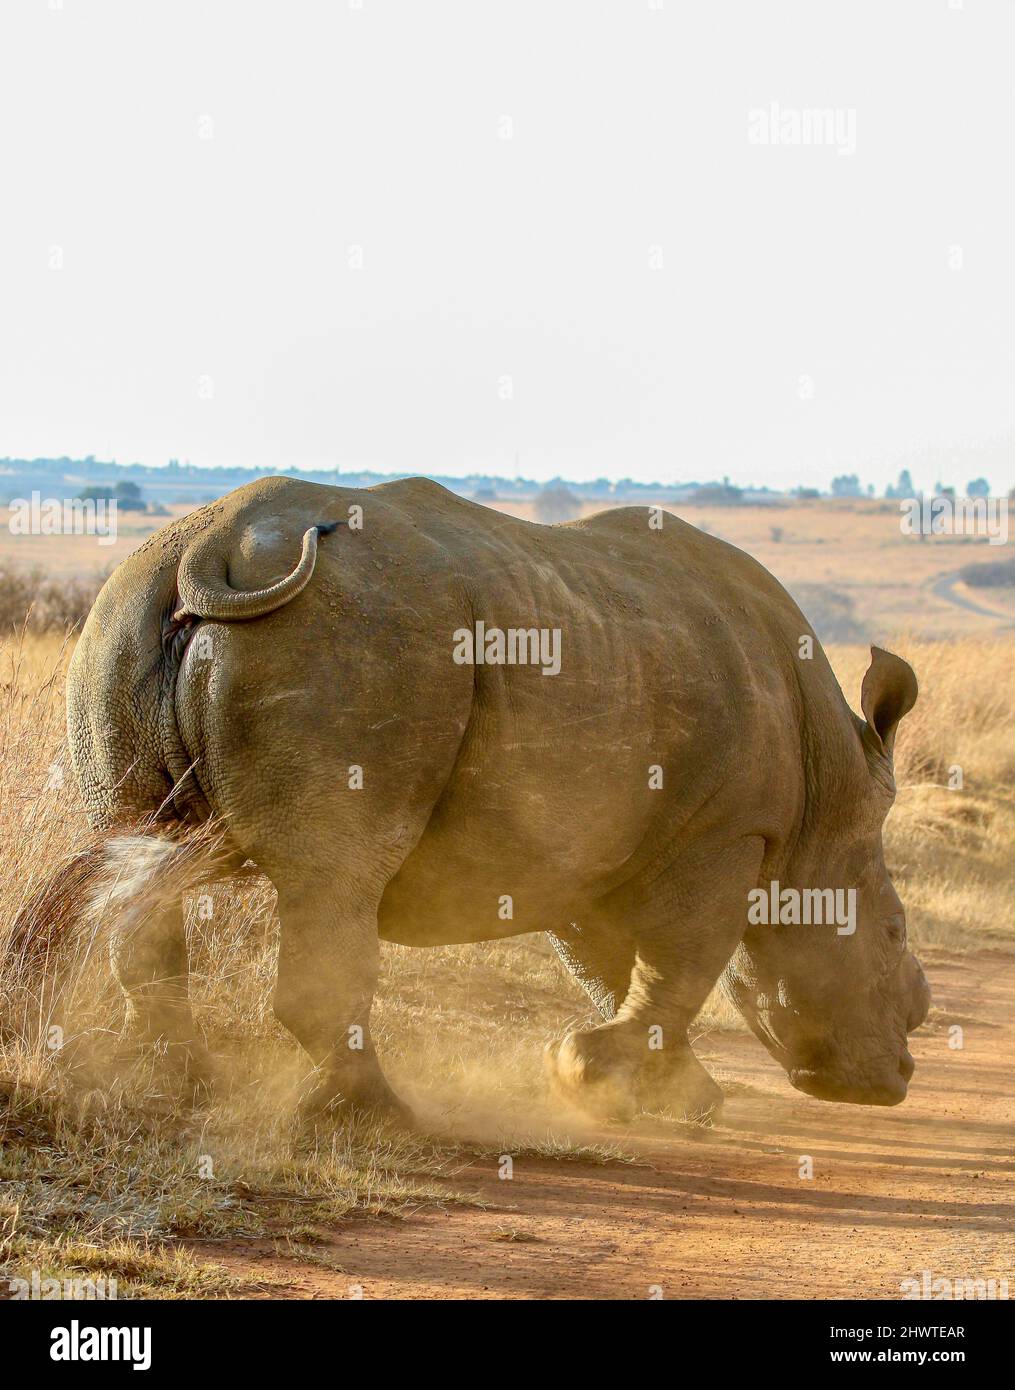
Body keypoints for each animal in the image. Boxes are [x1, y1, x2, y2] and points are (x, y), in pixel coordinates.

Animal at [63, 475, 930, 1121]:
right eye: (891, 932)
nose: (895, 1077)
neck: (828, 800)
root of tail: (211, 547)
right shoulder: (726, 828)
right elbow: (682, 960)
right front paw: (599, 1079)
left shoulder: (597, 839)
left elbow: (617, 963)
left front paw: (669, 1096)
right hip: (359, 646)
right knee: (337, 876)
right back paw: (384, 1115)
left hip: (119, 619)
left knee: (144, 867)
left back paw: (178, 1082)